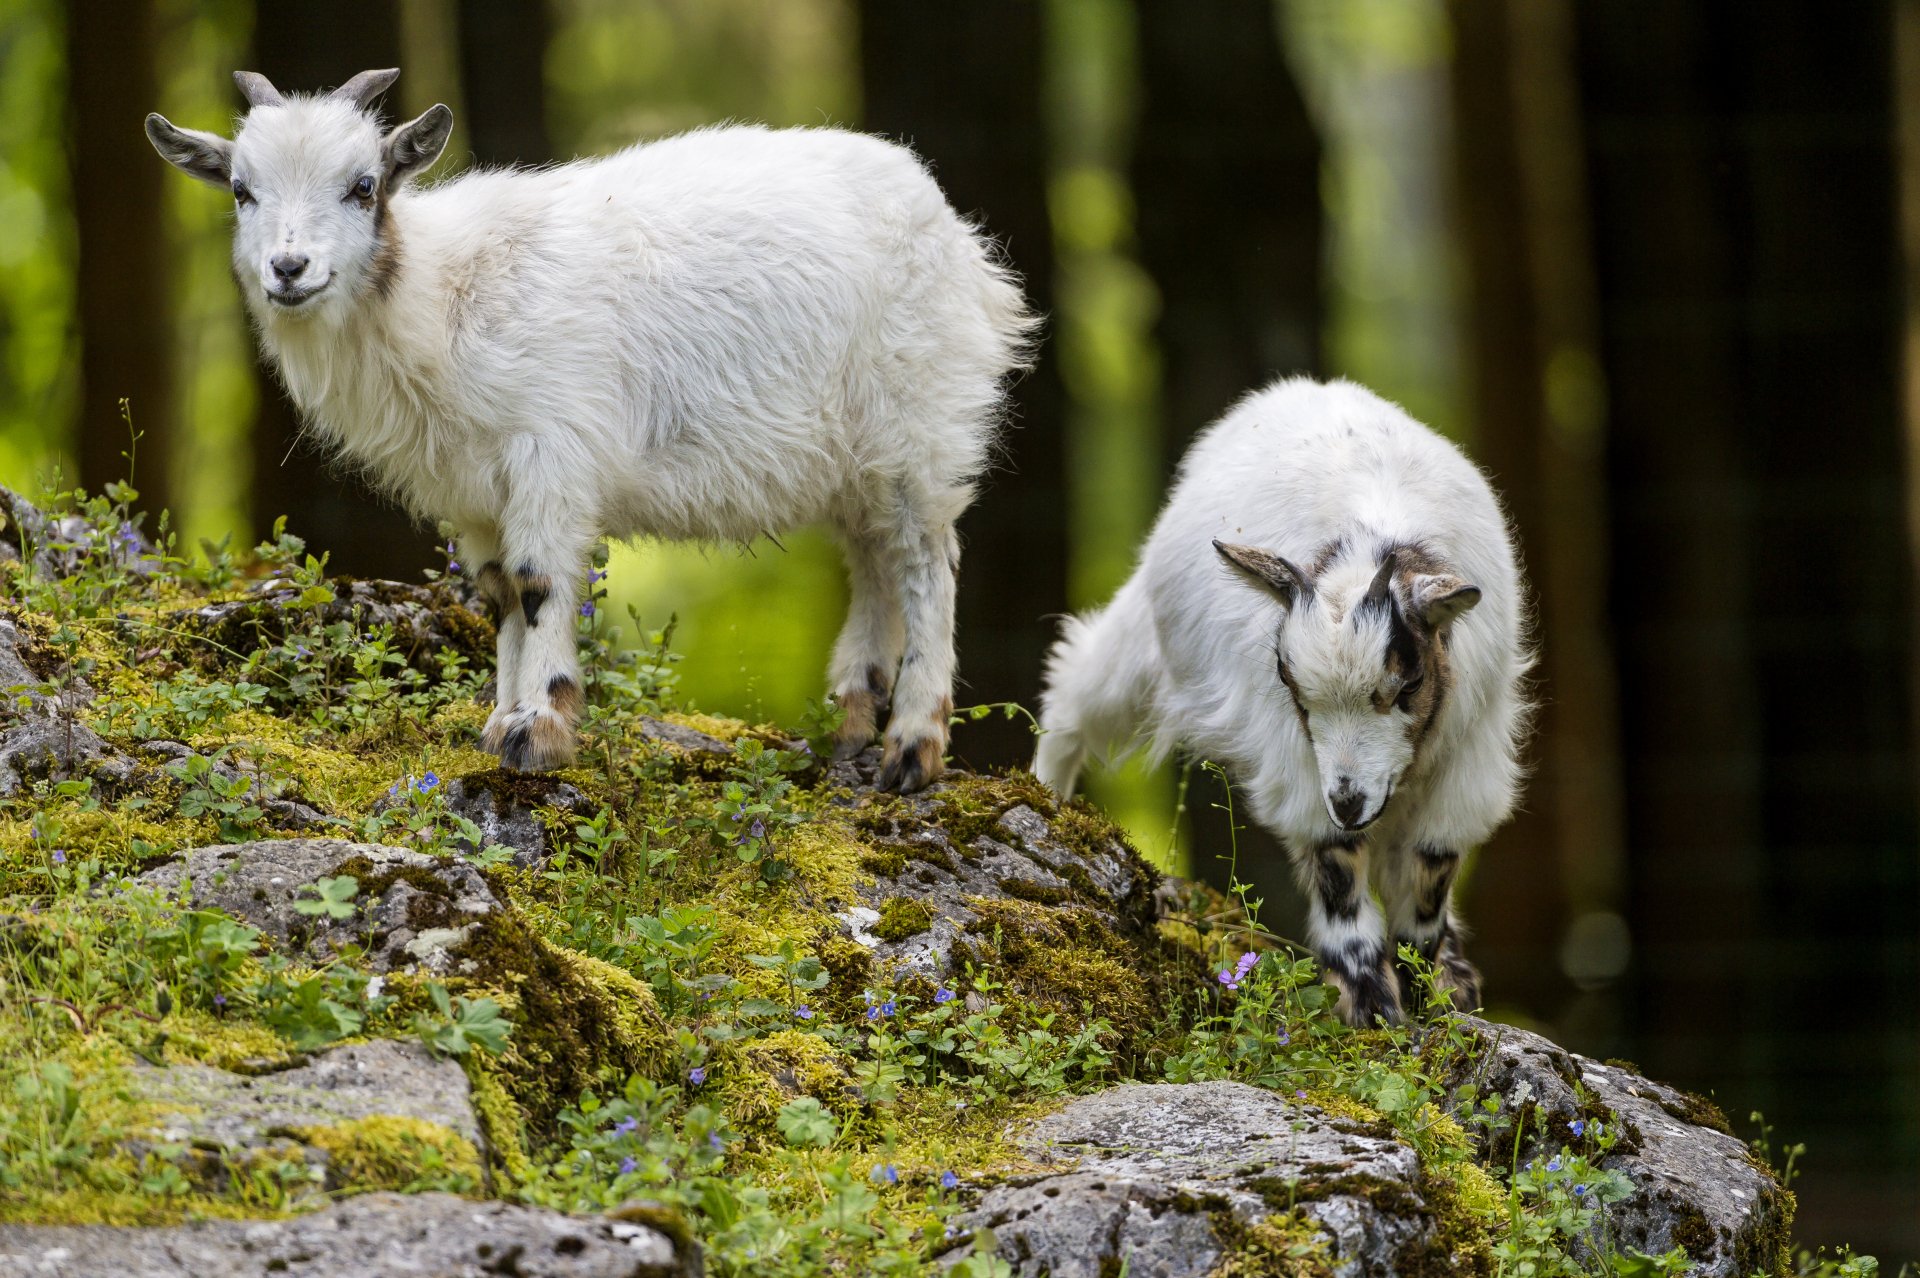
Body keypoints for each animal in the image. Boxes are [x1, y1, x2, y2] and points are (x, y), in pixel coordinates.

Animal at [145, 69, 1031, 791]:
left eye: (363, 186)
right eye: (240, 191)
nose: (289, 270)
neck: (442, 293)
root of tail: (955, 235)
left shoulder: (552, 450)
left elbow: (540, 582)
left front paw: (540, 730)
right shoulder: (475, 491)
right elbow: (499, 593)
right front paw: (500, 721)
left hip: (920, 429)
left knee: (926, 565)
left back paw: (911, 749)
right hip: (854, 461)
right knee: (875, 562)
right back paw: (849, 721)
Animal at [1034, 377, 1531, 1025]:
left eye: (1409, 684)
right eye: (1289, 680)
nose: (1349, 802)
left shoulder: (1469, 755)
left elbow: (1429, 874)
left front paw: (1435, 991)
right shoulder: (1295, 754)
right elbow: (1336, 865)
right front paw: (1369, 1001)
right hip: (1147, 645)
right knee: (1076, 686)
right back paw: (1047, 796)